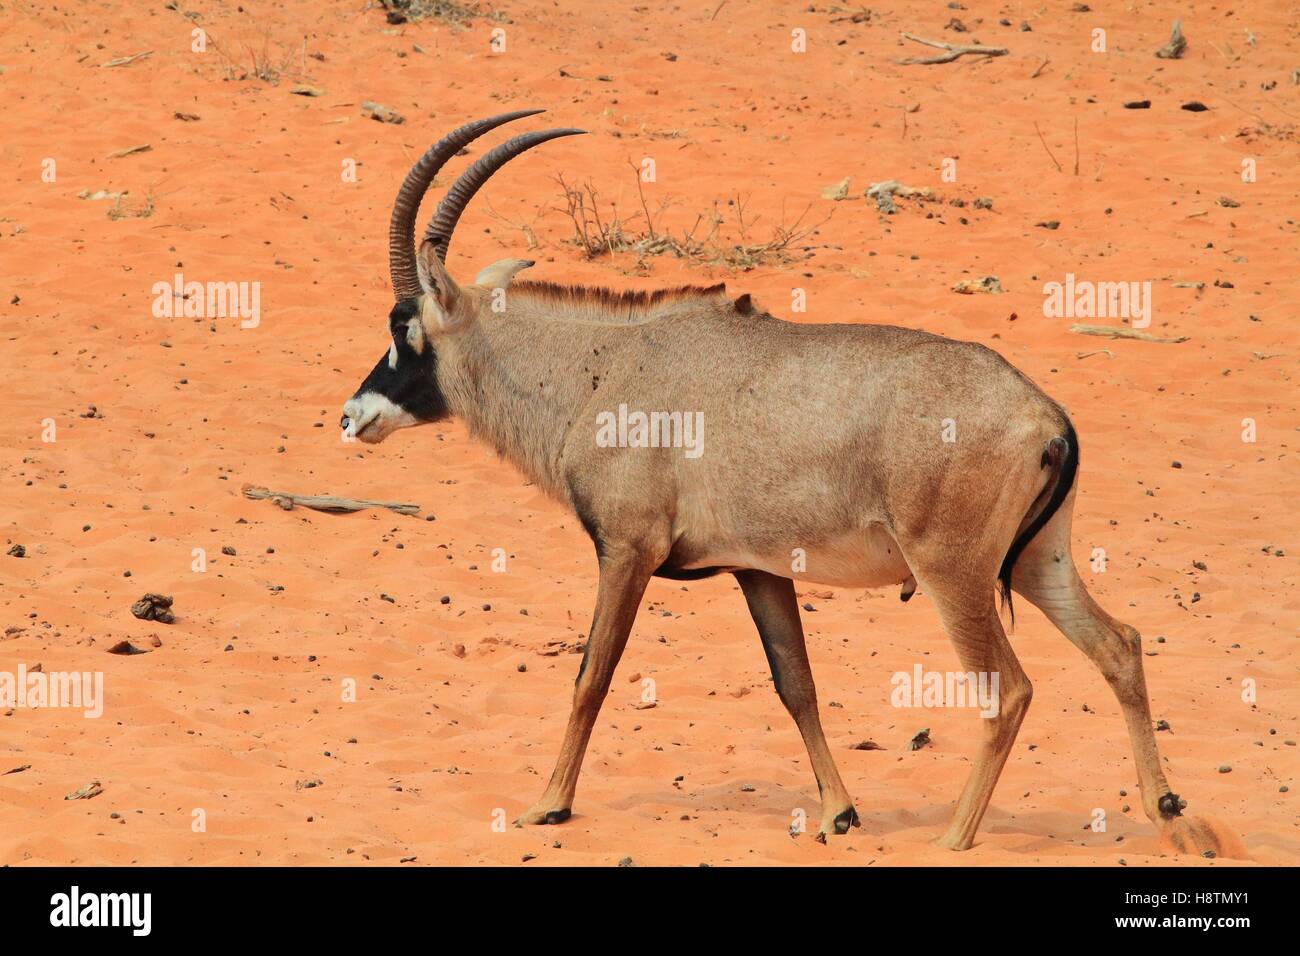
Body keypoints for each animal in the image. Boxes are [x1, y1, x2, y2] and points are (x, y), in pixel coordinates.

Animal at [339, 111, 1223, 854]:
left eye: (405, 328)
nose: (352, 417)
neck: (601, 371)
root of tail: (1046, 415)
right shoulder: (756, 571)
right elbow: (795, 684)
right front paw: (838, 812)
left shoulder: (626, 550)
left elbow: (592, 673)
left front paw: (547, 805)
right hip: (1040, 563)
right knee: (1120, 646)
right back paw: (1174, 819)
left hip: (955, 574)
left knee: (1007, 689)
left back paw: (954, 838)